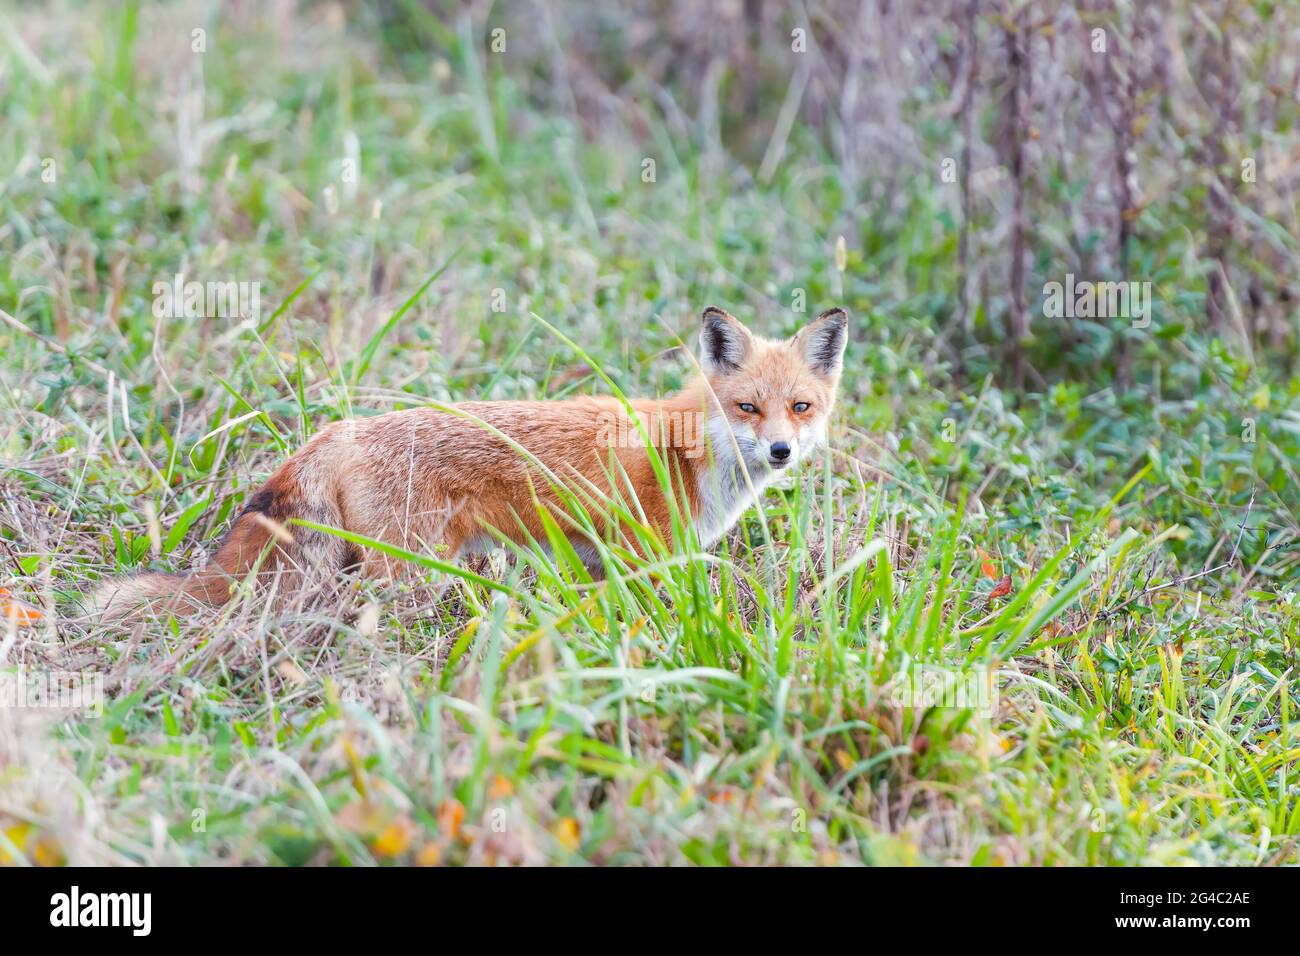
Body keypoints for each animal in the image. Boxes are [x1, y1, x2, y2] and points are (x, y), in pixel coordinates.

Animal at [90, 306, 848, 621]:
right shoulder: (645, 557)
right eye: (748, 407)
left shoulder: (600, 561)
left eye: (800, 407)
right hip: (407, 574)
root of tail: (340, 430)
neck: (686, 452)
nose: (781, 450)